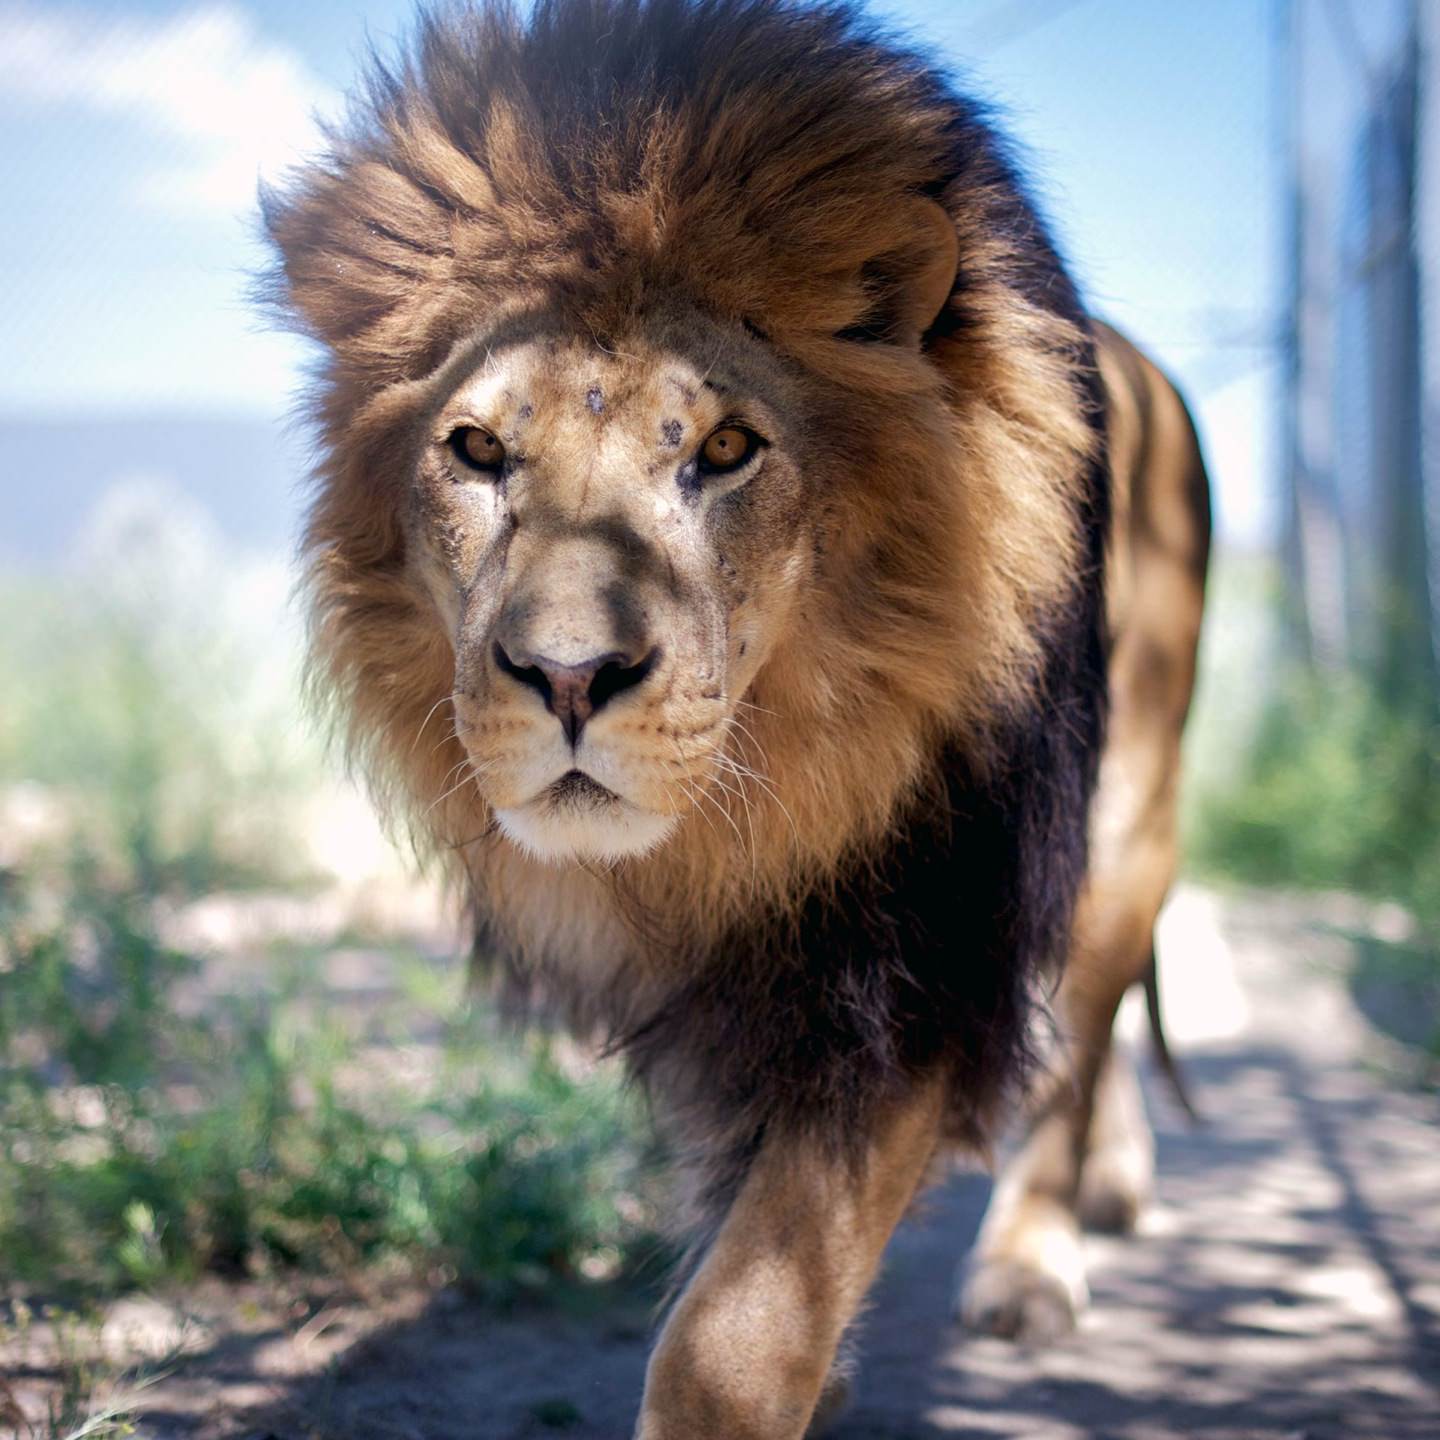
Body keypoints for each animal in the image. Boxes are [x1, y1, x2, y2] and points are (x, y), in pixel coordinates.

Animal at [262, 1, 1211, 1434]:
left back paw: (1036, 1261)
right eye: (478, 451)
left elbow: (736, 1334)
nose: (568, 678)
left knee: (1087, 1024)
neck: (745, 816)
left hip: (1130, 801)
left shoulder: (917, 951)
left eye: (722, 450)